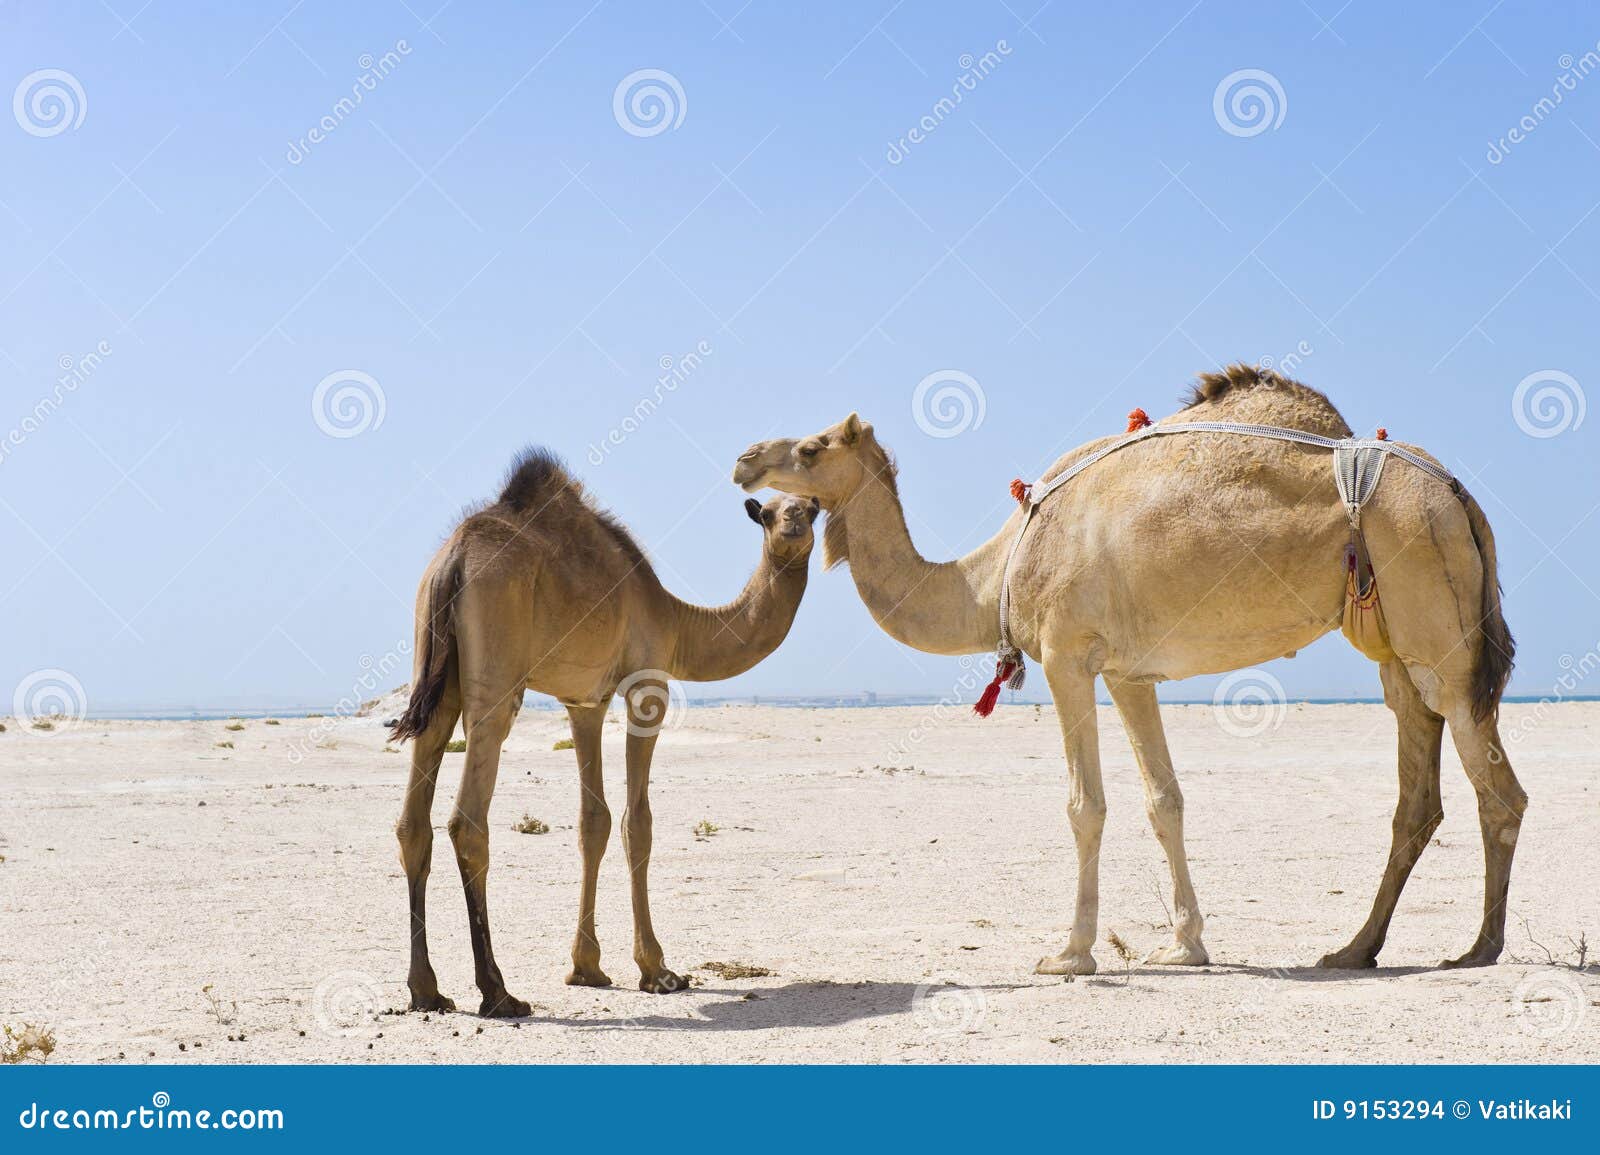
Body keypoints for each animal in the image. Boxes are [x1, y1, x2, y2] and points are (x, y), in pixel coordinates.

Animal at [390, 448, 819, 1015]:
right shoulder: (647, 687)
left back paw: (426, 990)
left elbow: (593, 821)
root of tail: (453, 561)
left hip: (435, 665)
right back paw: (498, 992)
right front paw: (657, 969)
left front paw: (586, 968)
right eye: (767, 513)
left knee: (414, 818)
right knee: (468, 819)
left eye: (810, 509)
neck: (676, 621)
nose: (793, 523)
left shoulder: (584, 702)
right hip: (496, 674)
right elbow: (639, 823)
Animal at [733, 364, 1524, 975]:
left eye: (811, 448)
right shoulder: (1128, 673)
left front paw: (1069, 952)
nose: (744, 459)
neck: (998, 569)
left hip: (1437, 618)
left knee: (1497, 786)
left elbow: (1086, 805)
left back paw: (1478, 947)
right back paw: (1354, 949)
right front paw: (1184, 946)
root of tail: (1461, 495)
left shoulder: (1066, 655)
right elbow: (1163, 801)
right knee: (1416, 790)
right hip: (1395, 644)